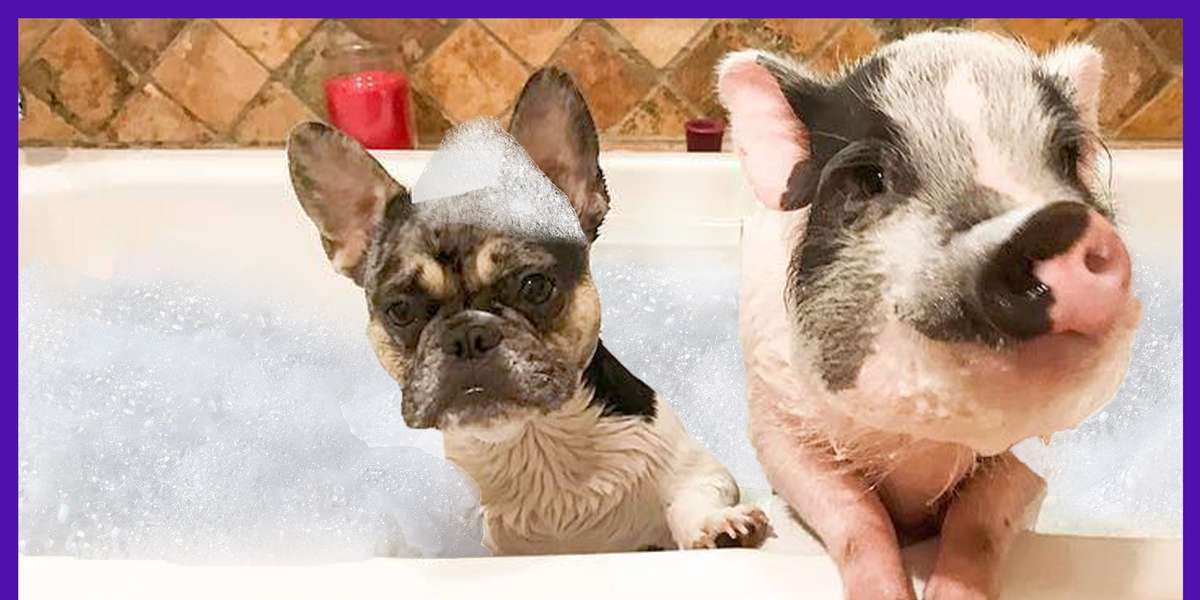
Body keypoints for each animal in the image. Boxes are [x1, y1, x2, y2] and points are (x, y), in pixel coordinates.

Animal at [718, 31, 1141, 599]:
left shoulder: (1032, 465)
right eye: (870, 177)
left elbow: (980, 519)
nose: (1054, 222)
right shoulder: (777, 426)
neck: (919, 445)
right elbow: (857, 516)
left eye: (1068, 158)